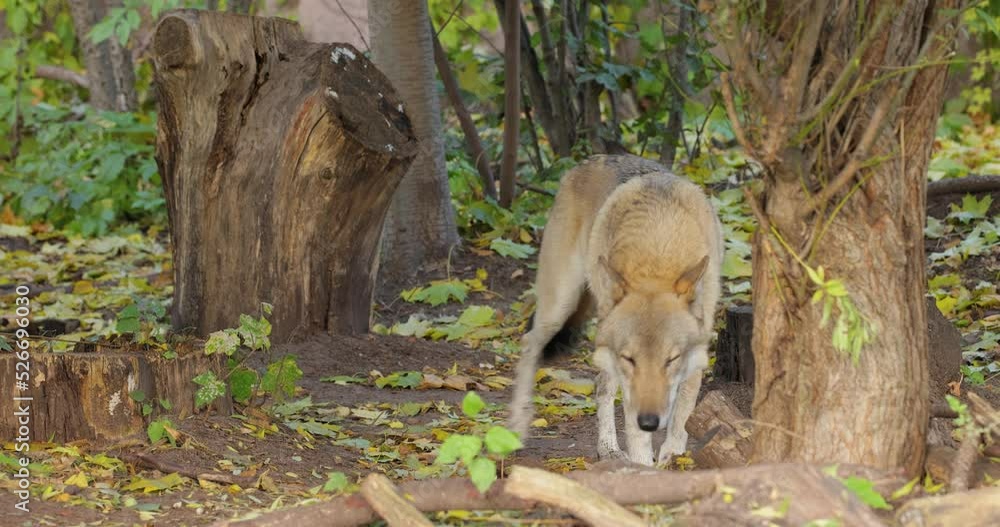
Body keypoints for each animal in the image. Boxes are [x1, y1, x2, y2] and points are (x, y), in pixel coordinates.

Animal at [507, 154, 723, 465]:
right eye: (630, 359)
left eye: (671, 359)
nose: (649, 421)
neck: (657, 254)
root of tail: (583, 163)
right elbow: (635, 431)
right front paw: (643, 465)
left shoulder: (699, 346)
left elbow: (684, 407)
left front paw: (673, 454)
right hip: (561, 305)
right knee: (531, 345)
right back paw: (522, 425)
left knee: (600, 383)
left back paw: (608, 448)